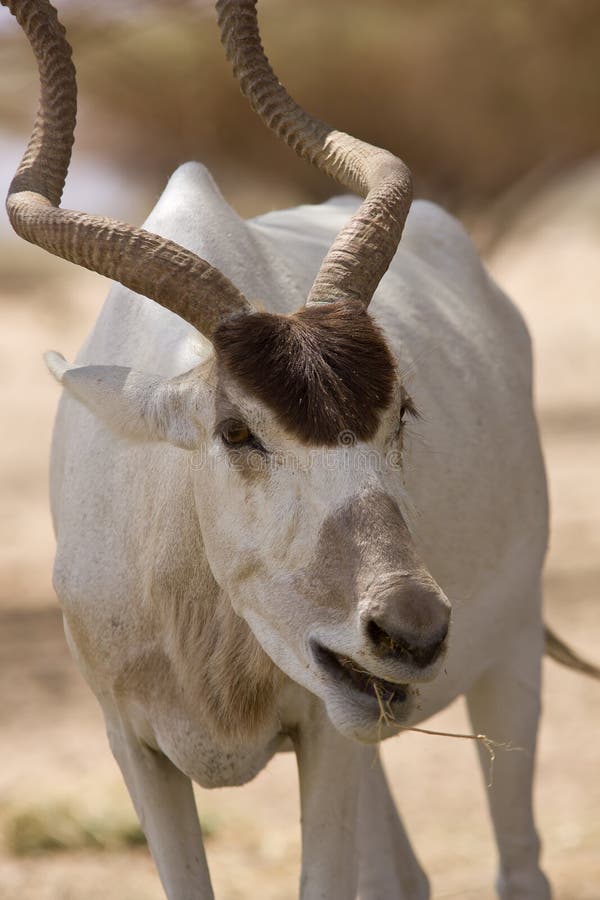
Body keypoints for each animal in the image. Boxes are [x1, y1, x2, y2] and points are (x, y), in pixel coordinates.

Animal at [3, 0, 598, 897]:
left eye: (400, 410)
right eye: (237, 430)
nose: (412, 631)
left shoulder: (324, 731)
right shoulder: (134, 748)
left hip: (509, 654)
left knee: (518, 864)